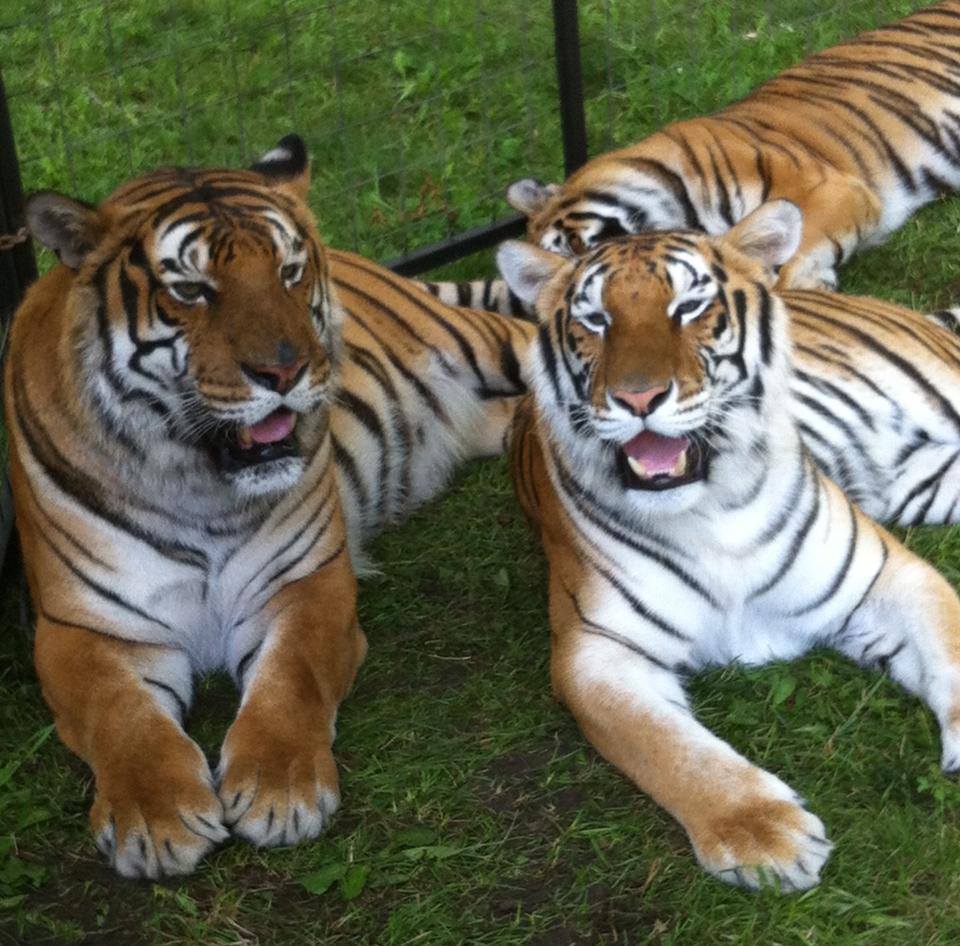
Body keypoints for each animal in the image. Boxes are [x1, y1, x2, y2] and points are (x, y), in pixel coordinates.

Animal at [7, 134, 533, 879]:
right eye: (190, 290)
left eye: (288, 273)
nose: (285, 371)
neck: (197, 484)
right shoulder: (81, 631)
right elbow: (122, 718)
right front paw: (155, 819)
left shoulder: (304, 583)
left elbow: (290, 681)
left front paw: (280, 792)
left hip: (485, 341)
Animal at [496, 199, 960, 891]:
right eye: (595, 320)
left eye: (689, 307)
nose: (638, 398)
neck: (711, 510)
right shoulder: (597, 652)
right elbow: (673, 750)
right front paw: (762, 835)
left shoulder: (885, 575)